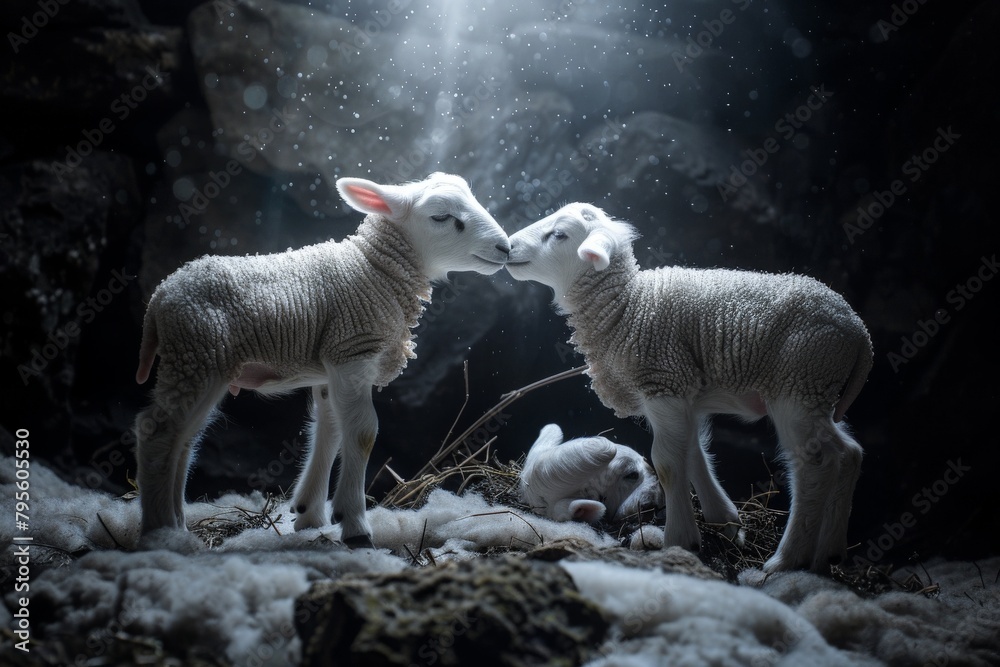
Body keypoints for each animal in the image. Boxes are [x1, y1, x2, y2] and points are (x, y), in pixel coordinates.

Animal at [134, 172, 511, 546]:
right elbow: (362, 432)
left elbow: (328, 430)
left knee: (184, 439)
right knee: (157, 430)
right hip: (196, 354)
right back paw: (160, 529)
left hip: (198, 360)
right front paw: (354, 523)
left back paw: (179, 525)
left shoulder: (330, 366)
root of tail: (158, 298)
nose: (505, 248)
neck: (373, 270)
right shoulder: (352, 349)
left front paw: (309, 515)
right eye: (441, 217)